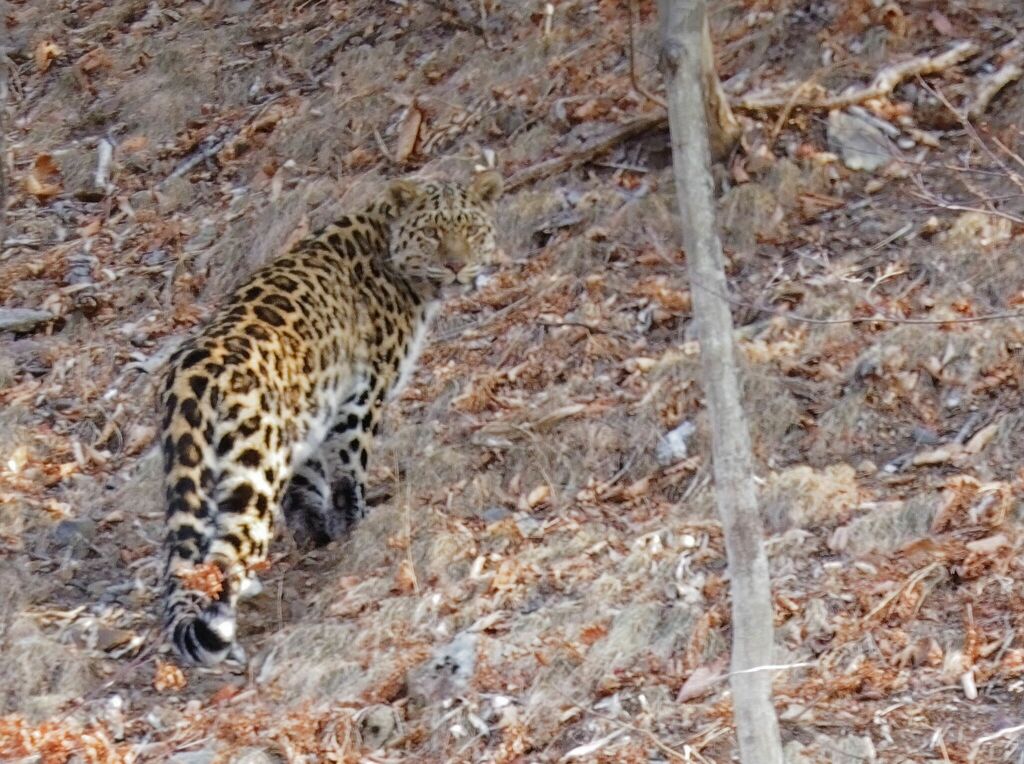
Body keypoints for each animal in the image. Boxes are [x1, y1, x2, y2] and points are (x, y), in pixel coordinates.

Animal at [159, 171, 503, 665]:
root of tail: (193, 375)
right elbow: (348, 474)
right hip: (255, 471)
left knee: (188, 561)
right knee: (228, 554)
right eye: (433, 233)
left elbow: (308, 486)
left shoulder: (312, 413)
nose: (457, 266)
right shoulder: (360, 399)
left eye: (471, 230)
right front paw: (354, 525)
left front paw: (317, 532)